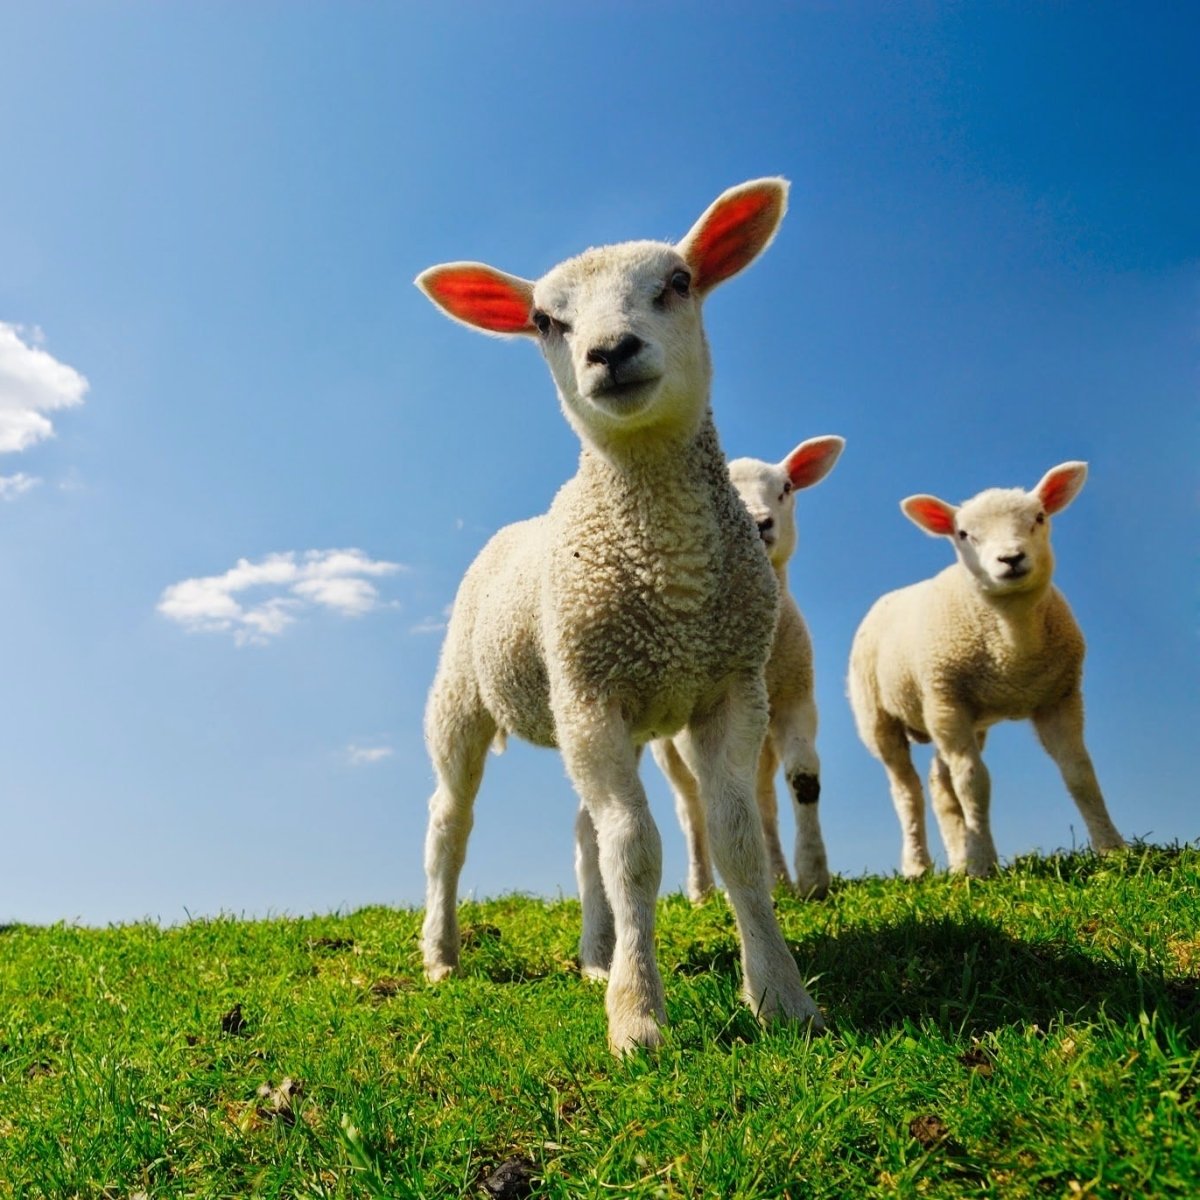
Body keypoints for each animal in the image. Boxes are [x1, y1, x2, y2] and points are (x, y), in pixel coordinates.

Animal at [415, 179, 824, 1054]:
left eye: (678, 282)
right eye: (545, 320)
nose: (610, 351)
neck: (671, 576)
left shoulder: (729, 688)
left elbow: (734, 840)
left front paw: (780, 994)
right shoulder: (593, 693)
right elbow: (635, 850)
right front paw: (638, 1018)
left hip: (603, 708)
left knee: (584, 833)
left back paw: (596, 953)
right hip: (472, 698)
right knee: (450, 824)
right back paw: (441, 953)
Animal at [648, 435, 845, 904]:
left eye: (787, 488)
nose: (759, 523)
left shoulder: (797, 699)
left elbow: (804, 778)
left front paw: (812, 876)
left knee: (762, 798)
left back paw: (778, 877)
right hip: (667, 747)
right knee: (691, 806)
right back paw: (702, 890)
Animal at [847, 461, 1126, 878]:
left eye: (1039, 518)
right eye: (964, 534)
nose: (1011, 558)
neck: (1012, 649)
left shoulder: (1060, 697)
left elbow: (1079, 772)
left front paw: (1113, 849)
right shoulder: (947, 700)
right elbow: (973, 783)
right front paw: (983, 865)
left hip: (953, 715)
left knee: (940, 783)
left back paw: (957, 860)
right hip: (881, 715)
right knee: (907, 790)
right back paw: (918, 866)